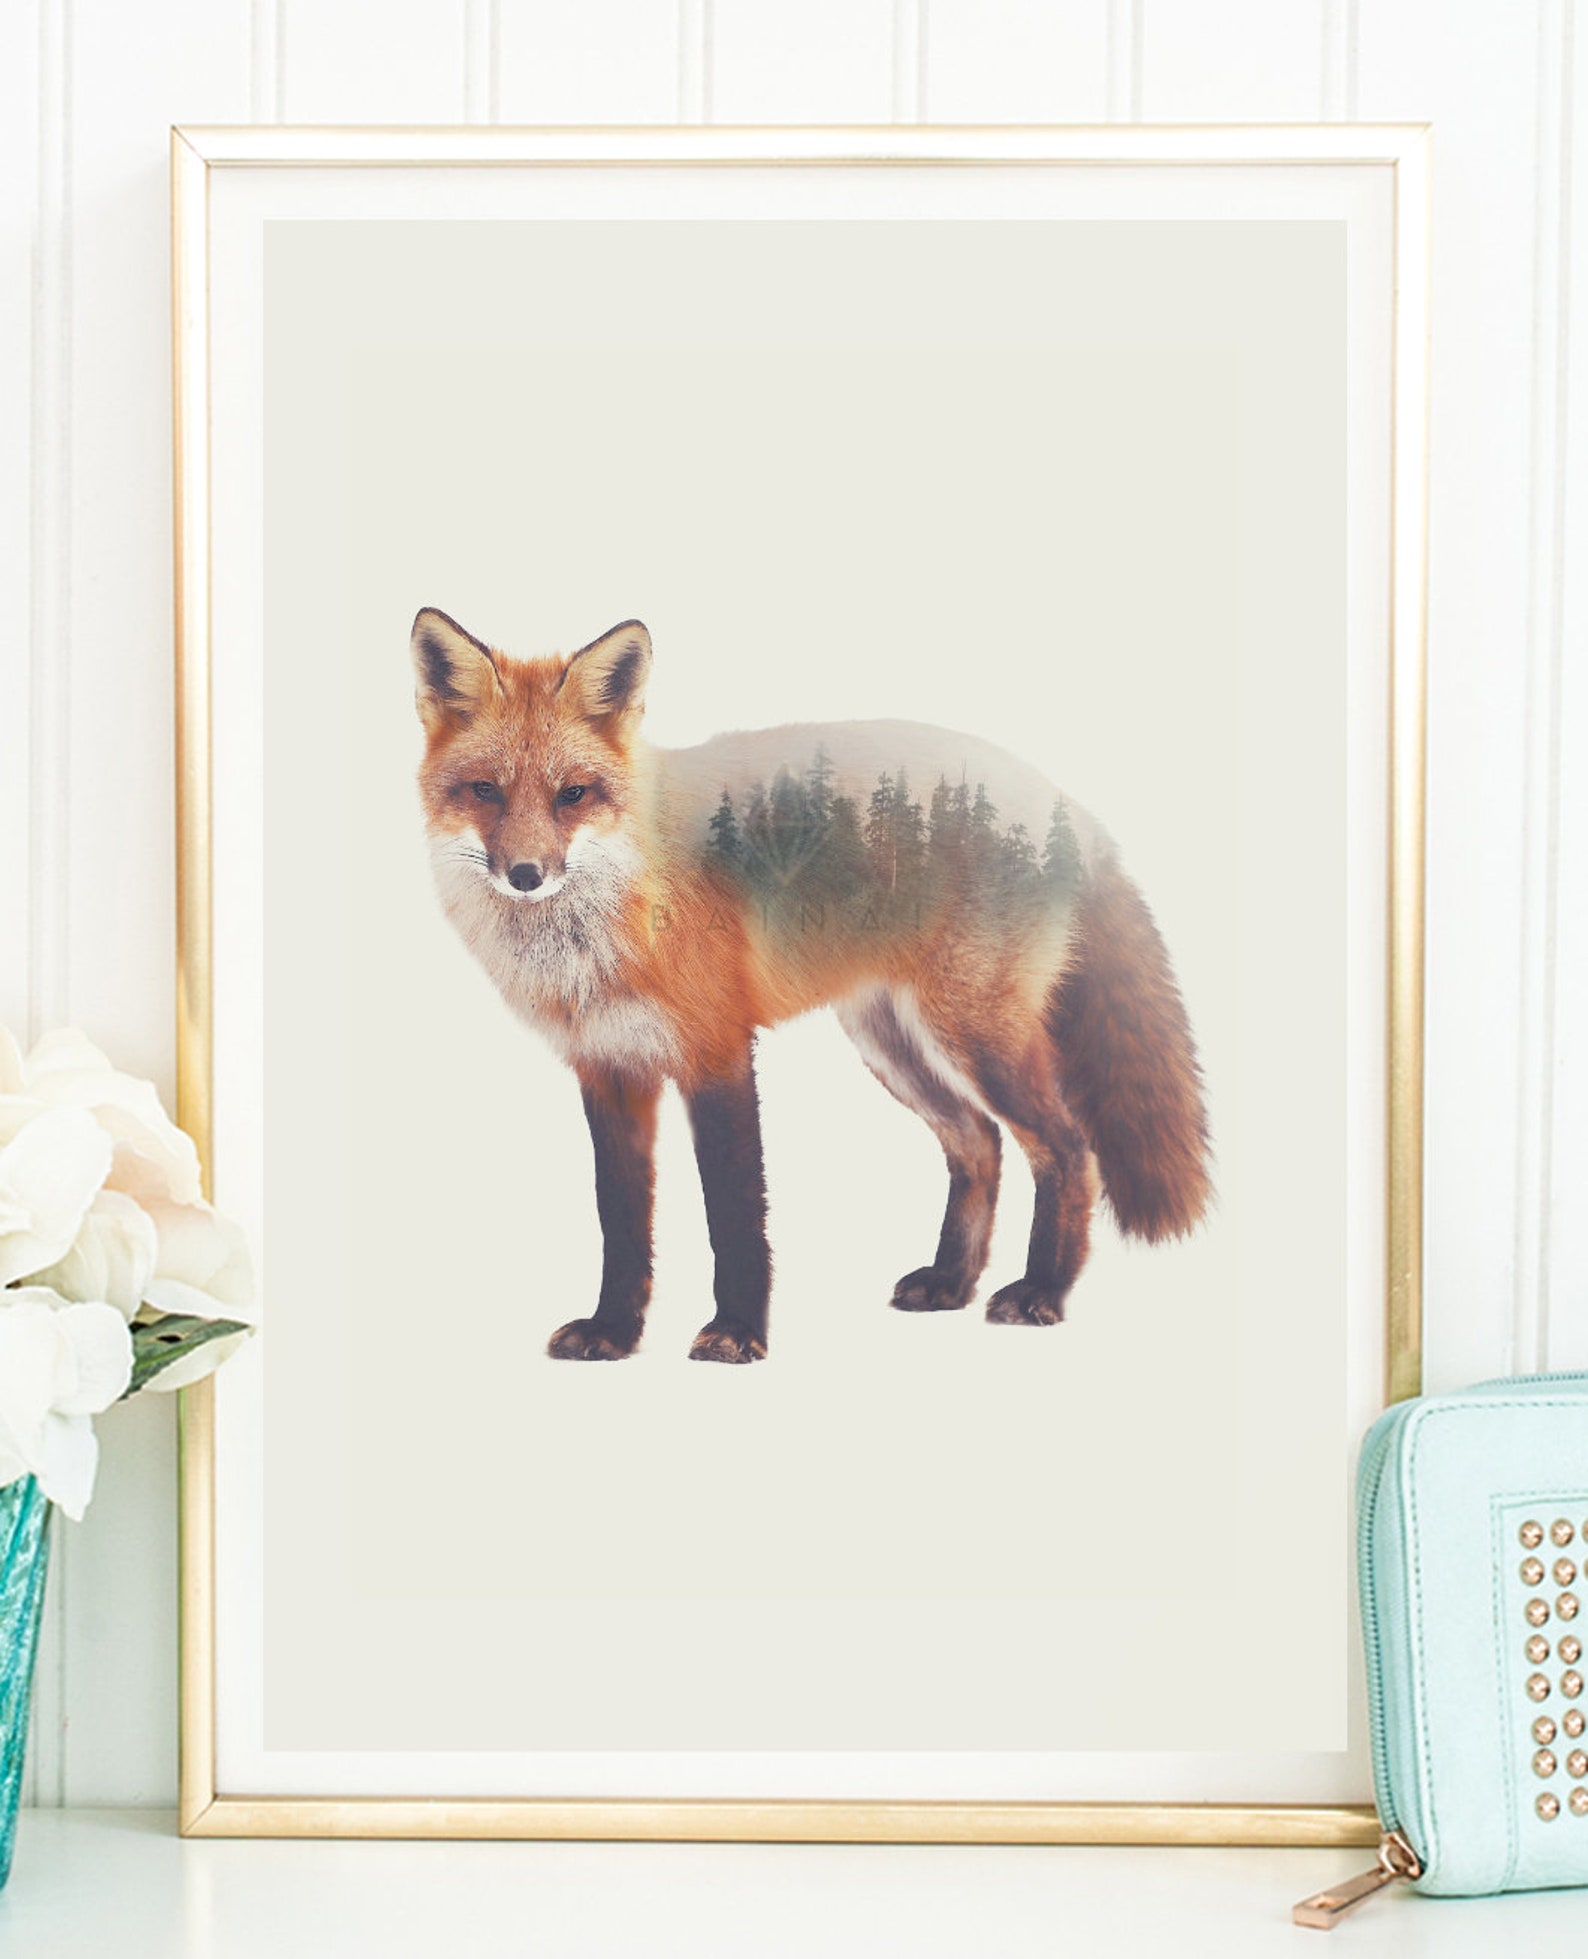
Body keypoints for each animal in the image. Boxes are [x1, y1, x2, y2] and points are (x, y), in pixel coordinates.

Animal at [411, 607, 1212, 1365]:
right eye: (485, 791)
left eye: (572, 795)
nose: (525, 875)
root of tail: (1062, 802)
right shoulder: (608, 1068)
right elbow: (621, 1221)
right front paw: (613, 1331)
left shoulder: (717, 1051)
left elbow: (734, 1210)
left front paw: (736, 1332)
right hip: (893, 1043)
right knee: (979, 1143)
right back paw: (951, 1282)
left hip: (975, 1035)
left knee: (1069, 1149)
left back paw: (1042, 1290)